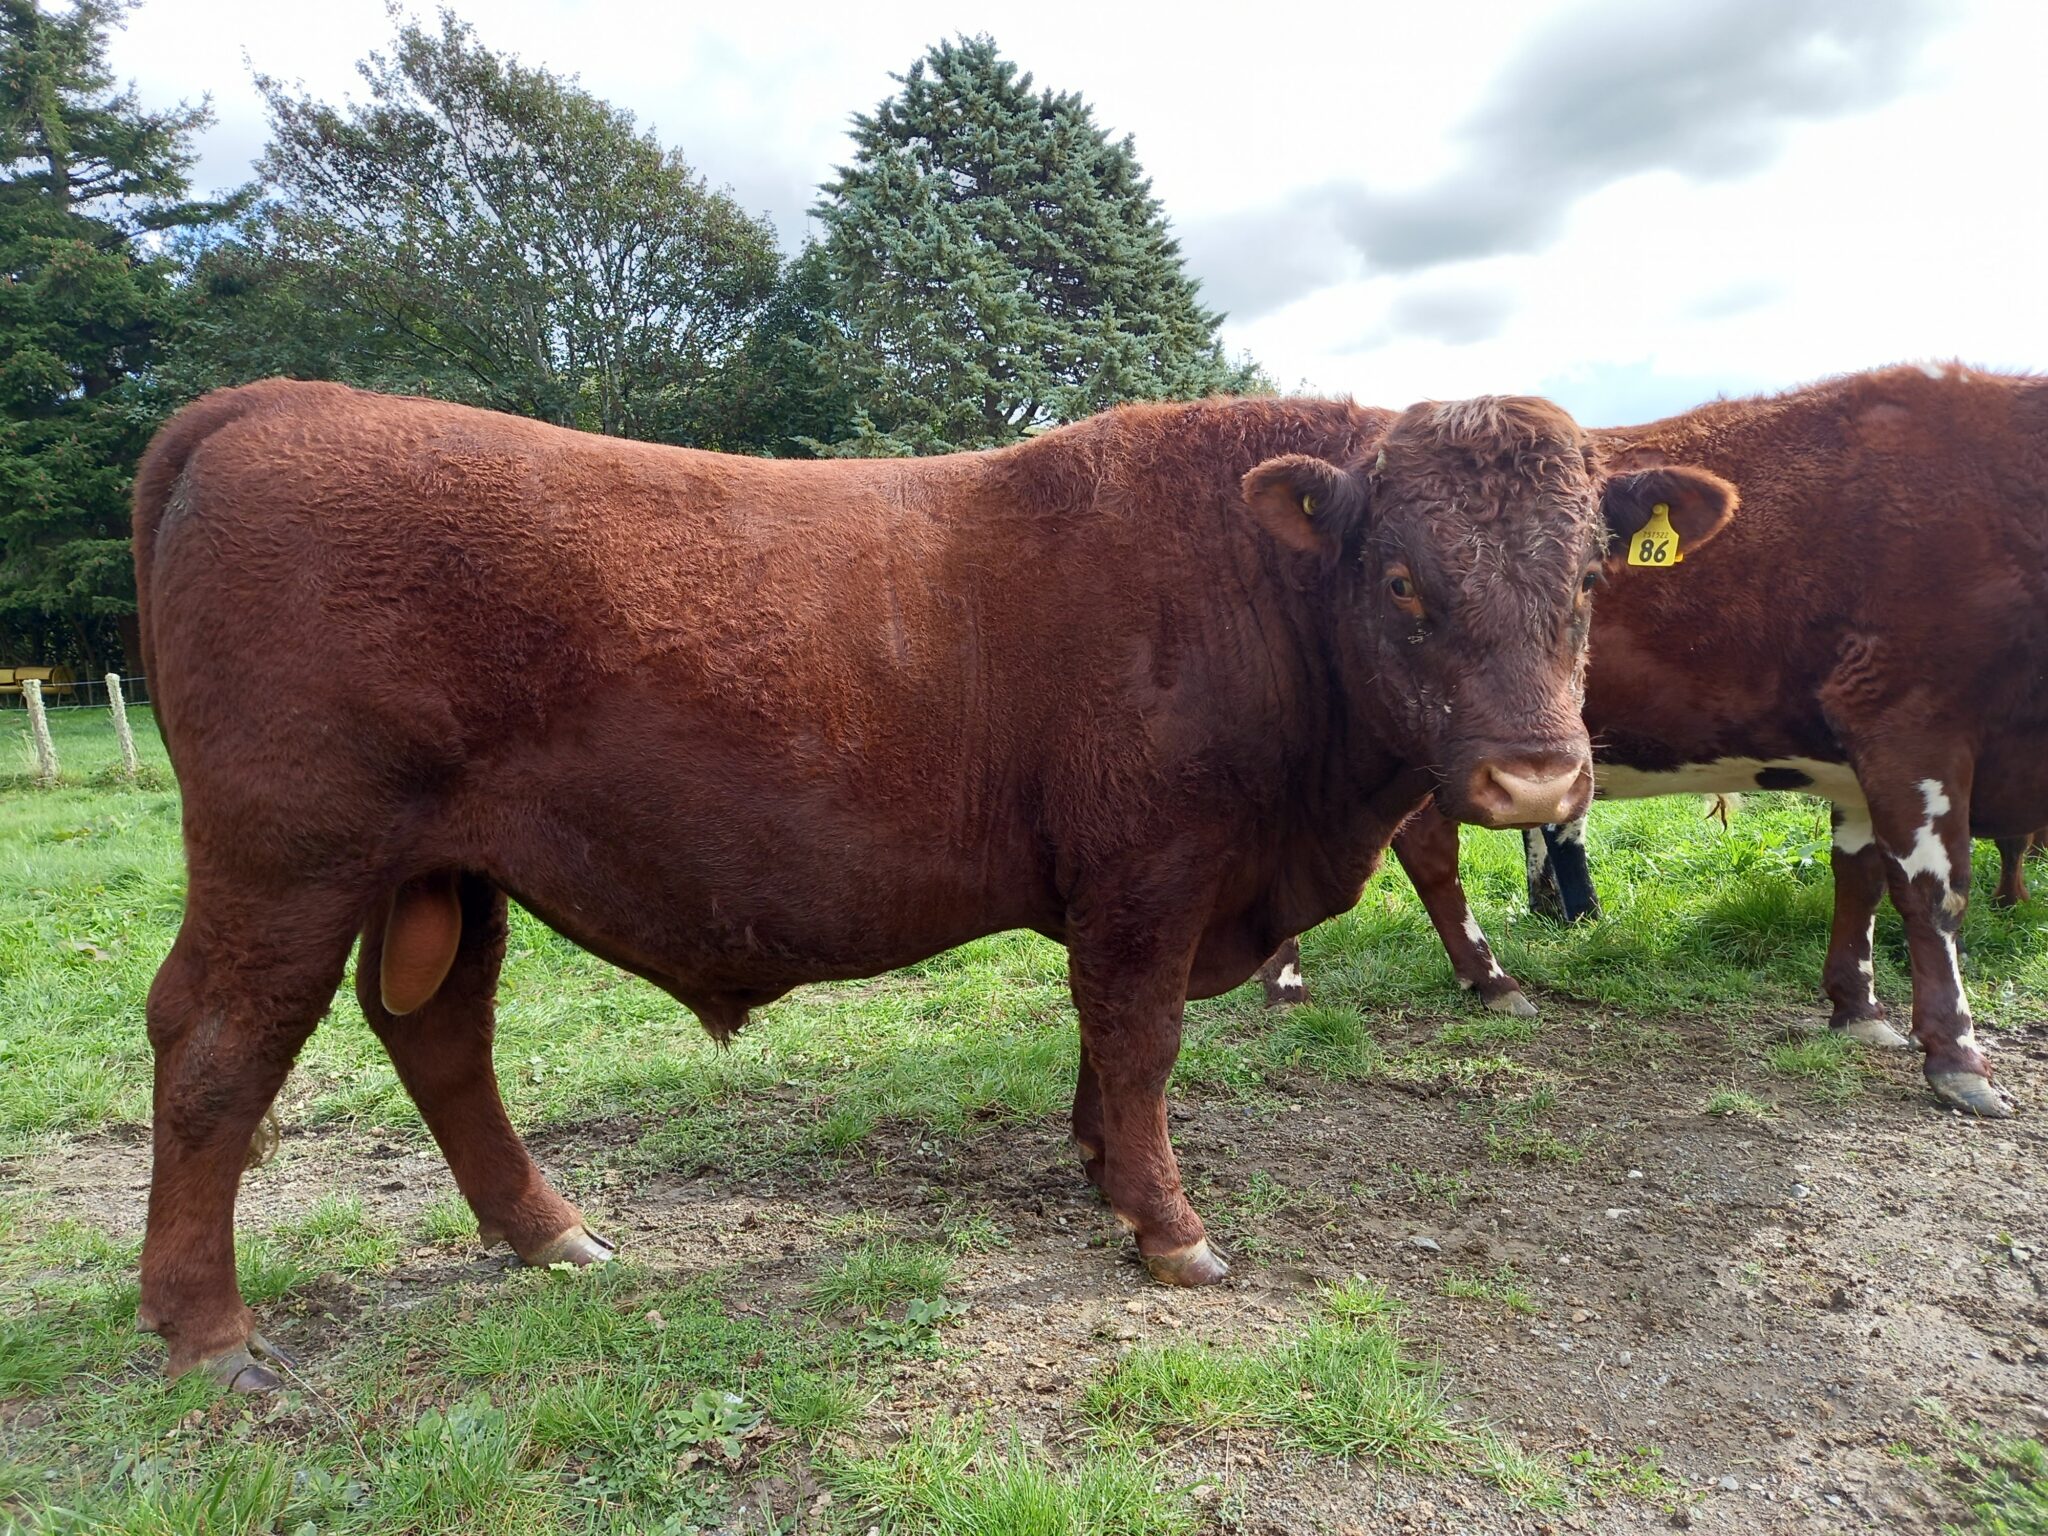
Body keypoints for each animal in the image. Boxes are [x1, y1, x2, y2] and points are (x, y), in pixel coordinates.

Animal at [130, 380, 1736, 1390]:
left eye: (1591, 576)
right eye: (1403, 582)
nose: (1535, 781)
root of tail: (275, 401)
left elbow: (1104, 1048)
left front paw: (1097, 1167)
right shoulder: (1149, 875)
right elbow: (1141, 1038)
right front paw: (1169, 1230)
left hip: (447, 877)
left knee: (438, 1035)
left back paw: (547, 1233)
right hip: (287, 859)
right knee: (216, 1044)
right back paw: (209, 1330)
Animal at [1257, 365, 2048, 1121]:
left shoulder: (1858, 762)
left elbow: (1858, 877)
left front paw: (1856, 1009)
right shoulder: (1910, 723)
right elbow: (1934, 895)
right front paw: (1958, 1058)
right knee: (1422, 848)